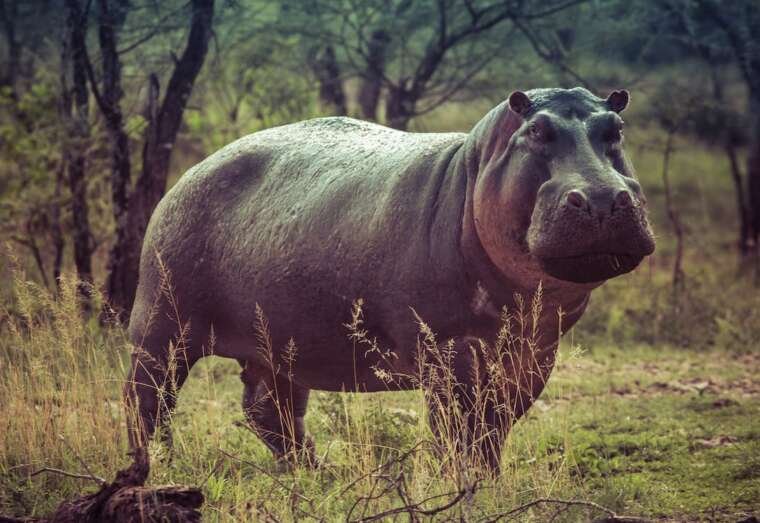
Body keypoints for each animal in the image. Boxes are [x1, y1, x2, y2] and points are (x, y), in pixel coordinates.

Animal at [125, 87, 655, 471]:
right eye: (537, 130)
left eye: (616, 129)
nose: (602, 197)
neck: (474, 168)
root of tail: (195, 168)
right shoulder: (449, 352)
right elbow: (456, 431)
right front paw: (459, 486)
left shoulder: (533, 354)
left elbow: (493, 431)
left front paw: (487, 481)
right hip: (162, 324)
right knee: (146, 399)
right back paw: (156, 468)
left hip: (277, 343)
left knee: (269, 410)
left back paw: (317, 473)